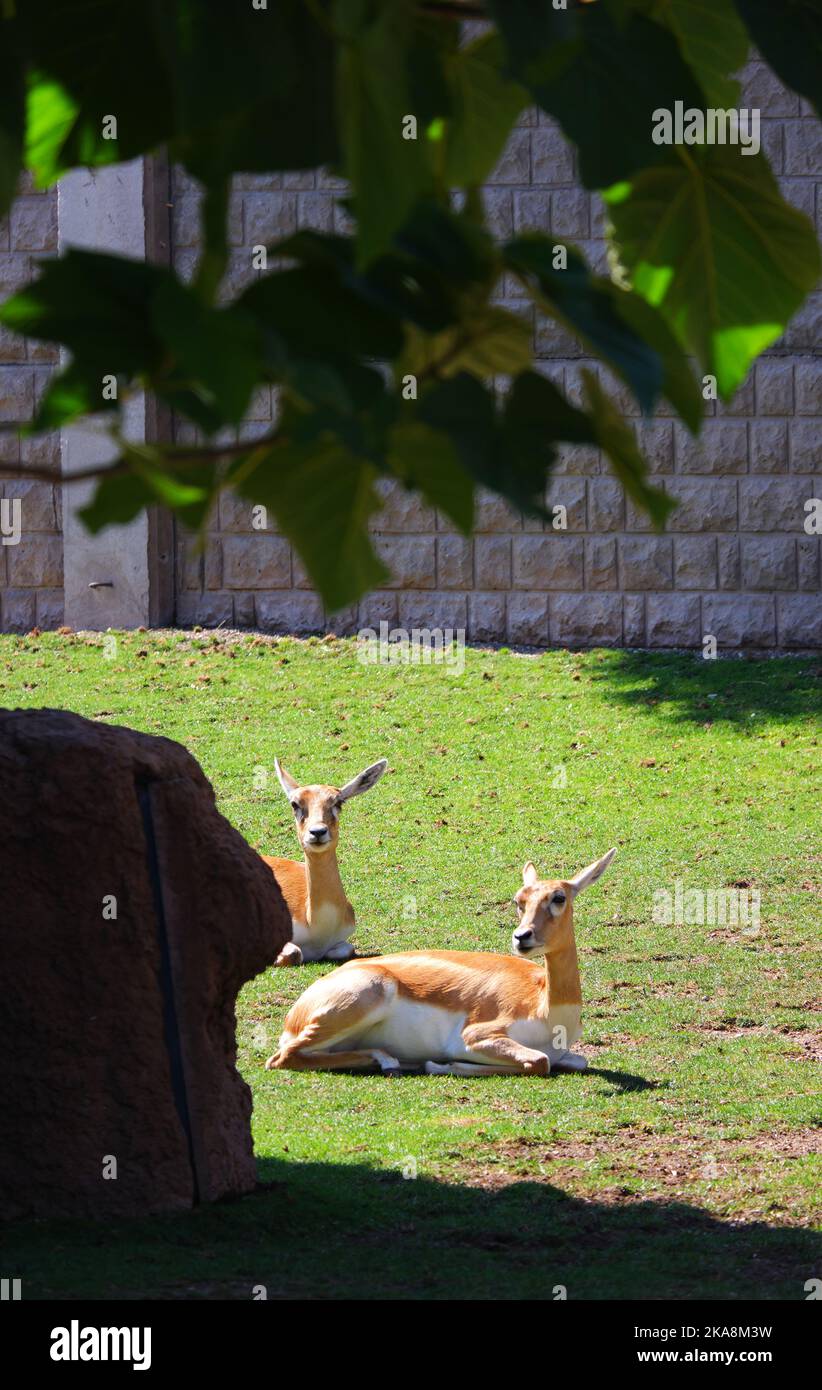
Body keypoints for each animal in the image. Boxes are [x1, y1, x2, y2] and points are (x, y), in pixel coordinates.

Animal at [262, 757, 387, 967]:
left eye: (338, 802)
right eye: (295, 804)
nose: (318, 831)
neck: (317, 929)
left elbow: (346, 949)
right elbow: (294, 952)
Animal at [265, 848, 616, 1075]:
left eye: (559, 897)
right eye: (520, 900)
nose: (522, 936)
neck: (546, 1006)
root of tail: (296, 1012)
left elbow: (574, 1060)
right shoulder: (479, 1035)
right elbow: (540, 1061)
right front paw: (441, 1063)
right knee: (282, 1057)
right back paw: (389, 1060)